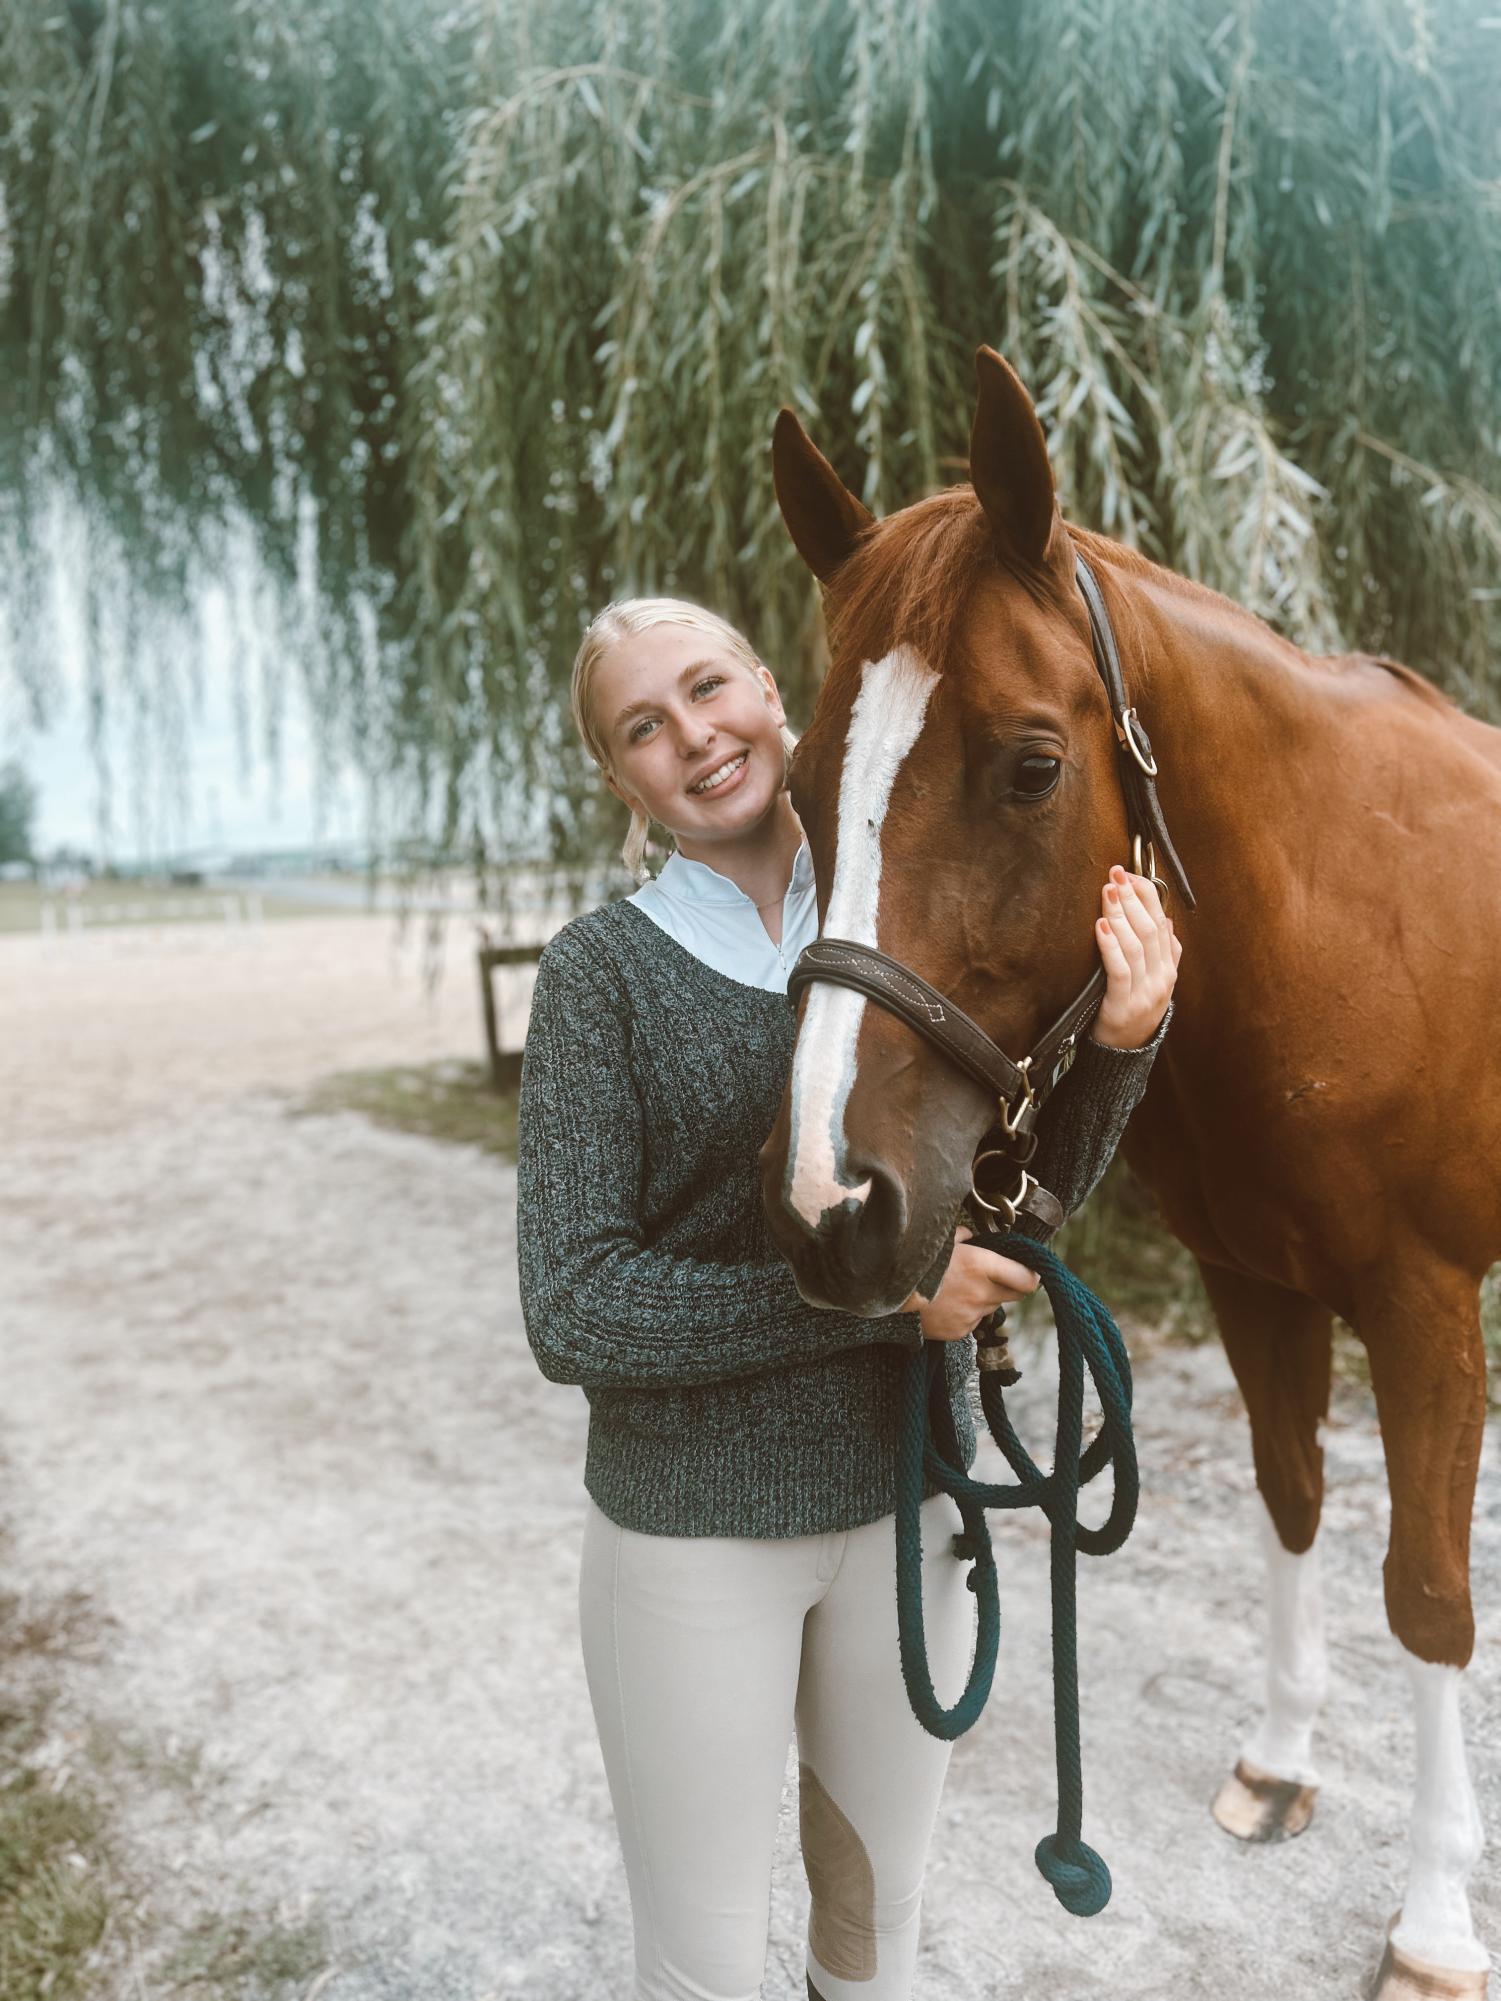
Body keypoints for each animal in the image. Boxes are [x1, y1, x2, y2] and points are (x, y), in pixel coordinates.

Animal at [757, 347, 1499, 2000]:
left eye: (1033, 765)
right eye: (802, 778)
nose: (838, 1204)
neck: (1341, 912)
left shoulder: (1422, 1307)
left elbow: (1425, 1592)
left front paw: (1432, 1923)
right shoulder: (1256, 1283)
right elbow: (1292, 1496)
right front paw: (1280, 1766)